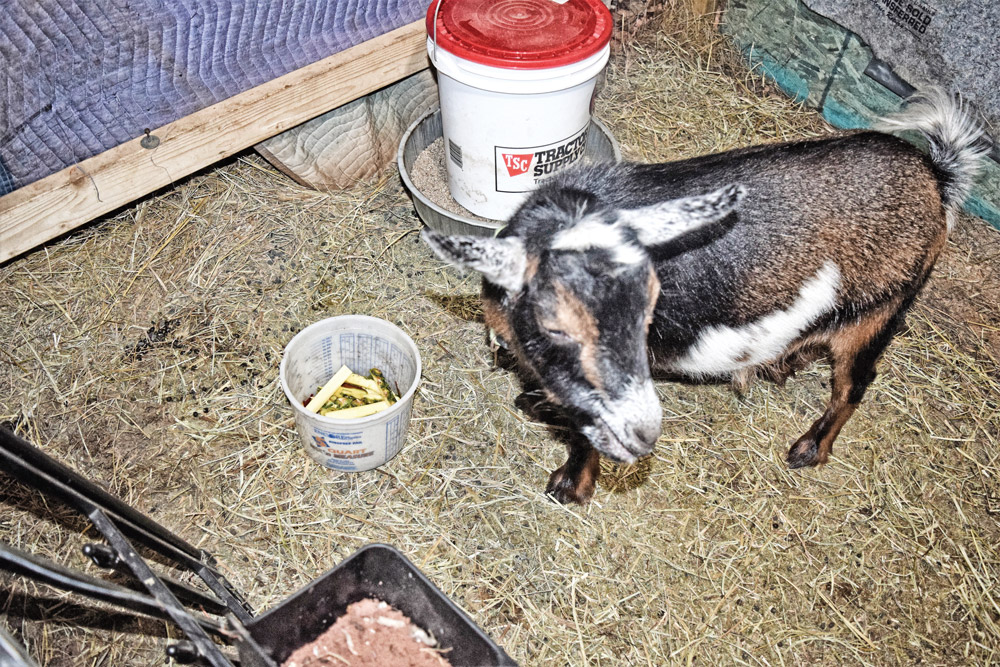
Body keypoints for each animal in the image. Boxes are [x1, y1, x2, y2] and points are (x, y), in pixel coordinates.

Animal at [423, 91, 988, 504]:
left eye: (648, 305)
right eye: (555, 320)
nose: (645, 435)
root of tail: (936, 177)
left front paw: (568, 489)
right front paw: (533, 402)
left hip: (877, 312)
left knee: (854, 385)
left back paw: (807, 450)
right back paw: (785, 366)